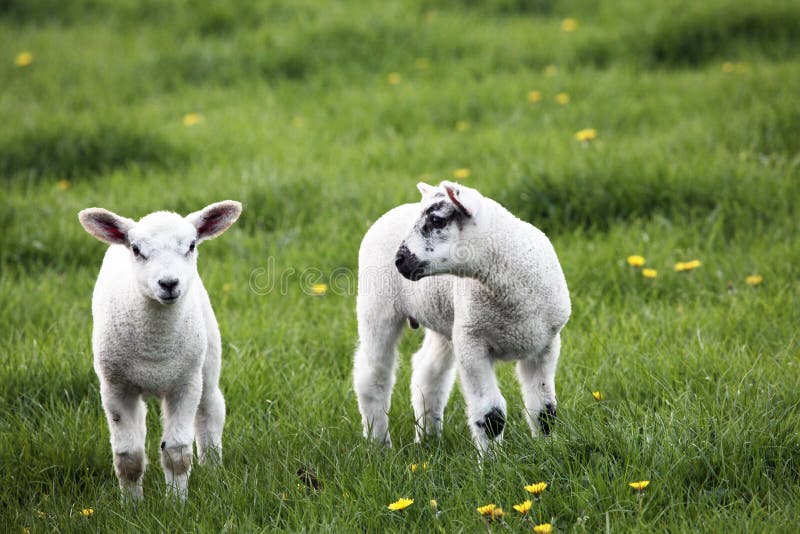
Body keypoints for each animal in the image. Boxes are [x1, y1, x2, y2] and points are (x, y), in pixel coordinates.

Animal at [78, 200, 242, 501]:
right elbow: (128, 457)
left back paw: (214, 472)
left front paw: (176, 503)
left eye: (191, 245)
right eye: (136, 249)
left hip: (207, 359)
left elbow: (177, 453)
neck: (155, 347)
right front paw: (131, 505)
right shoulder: (115, 387)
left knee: (211, 410)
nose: (168, 283)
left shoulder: (185, 384)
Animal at [353, 182, 570, 454]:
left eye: (436, 220)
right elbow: (491, 415)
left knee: (428, 372)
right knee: (372, 377)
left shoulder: (545, 345)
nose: (399, 261)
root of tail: (393, 211)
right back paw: (380, 446)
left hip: (443, 318)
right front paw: (492, 462)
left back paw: (428, 439)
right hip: (376, 305)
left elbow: (544, 411)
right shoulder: (472, 343)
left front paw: (547, 449)